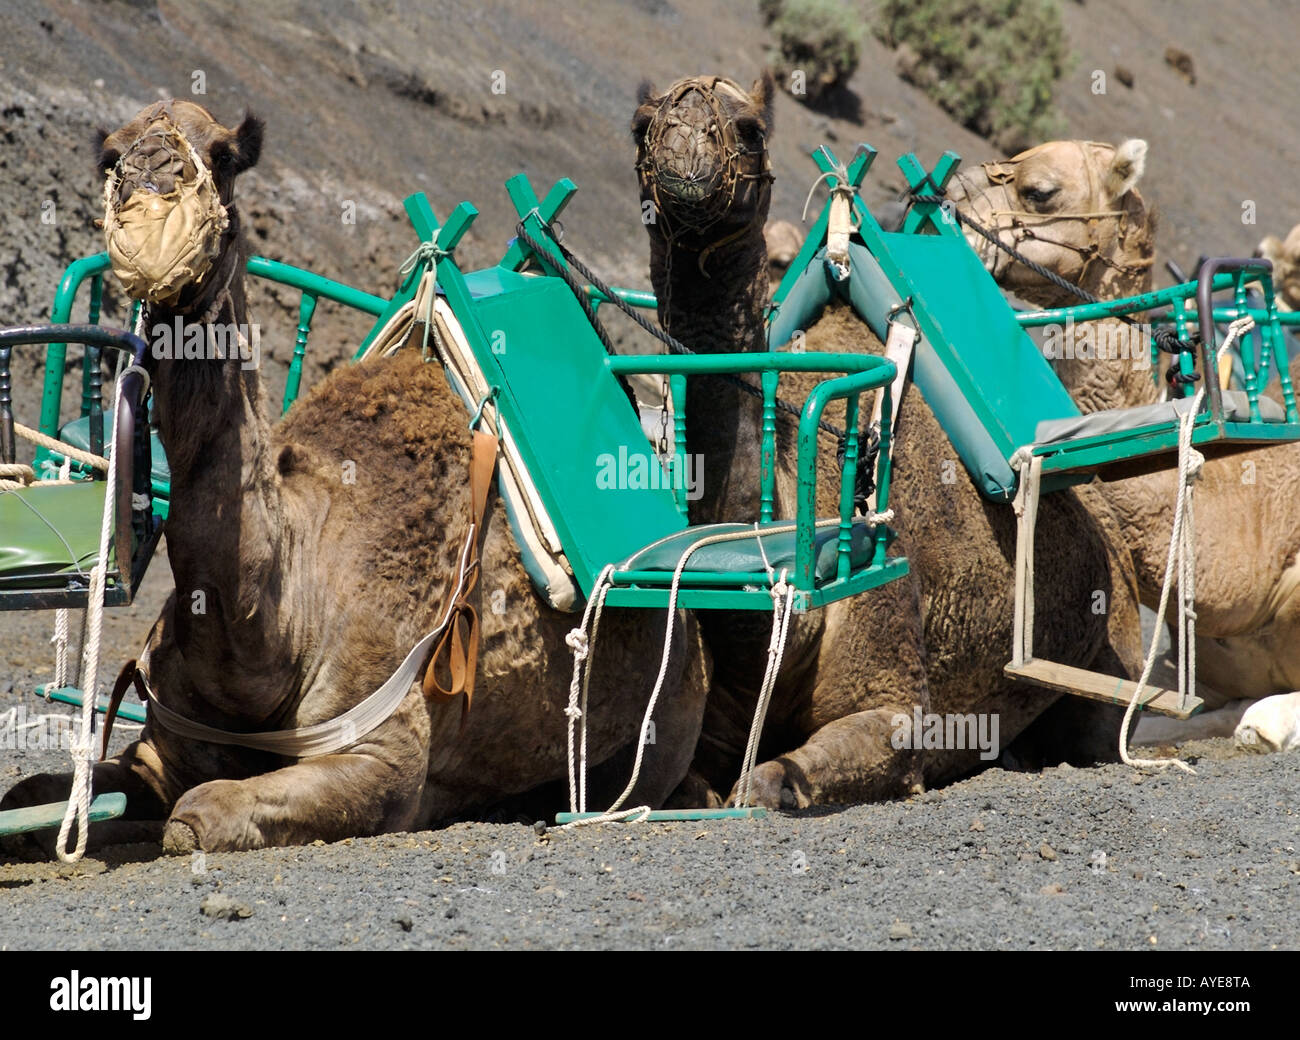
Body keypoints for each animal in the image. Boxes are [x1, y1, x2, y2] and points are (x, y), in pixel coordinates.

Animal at [1, 100, 709, 856]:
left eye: (221, 156)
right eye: (111, 157)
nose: (150, 180)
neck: (281, 627)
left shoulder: (383, 757)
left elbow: (195, 819)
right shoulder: (160, 752)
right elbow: (32, 794)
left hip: (665, 721)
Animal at [632, 75, 1148, 808]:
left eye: (751, 128)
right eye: (640, 125)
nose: (681, 134)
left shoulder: (894, 697)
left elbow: (779, 779)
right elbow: (689, 783)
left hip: (1114, 639)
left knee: (1100, 725)